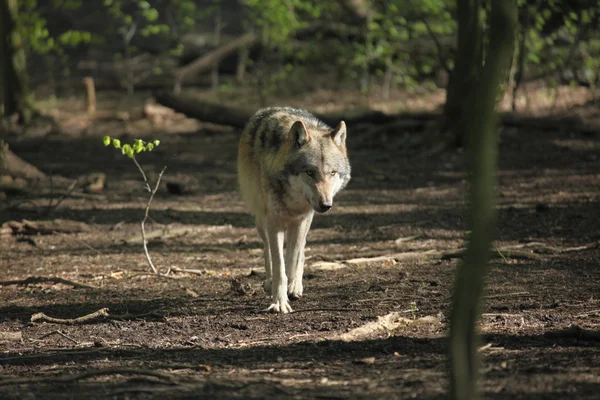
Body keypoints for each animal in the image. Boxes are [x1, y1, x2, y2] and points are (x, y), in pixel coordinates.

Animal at [238, 108, 352, 314]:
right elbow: (279, 266)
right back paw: (269, 282)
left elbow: (293, 259)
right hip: (261, 219)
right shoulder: (274, 223)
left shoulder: (301, 220)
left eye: (332, 173)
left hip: (305, 222)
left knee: (301, 252)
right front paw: (279, 302)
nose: (326, 205)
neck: (294, 201)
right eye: (309, 172)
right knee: (267, 249)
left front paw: (291, 289)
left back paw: (296, 285)